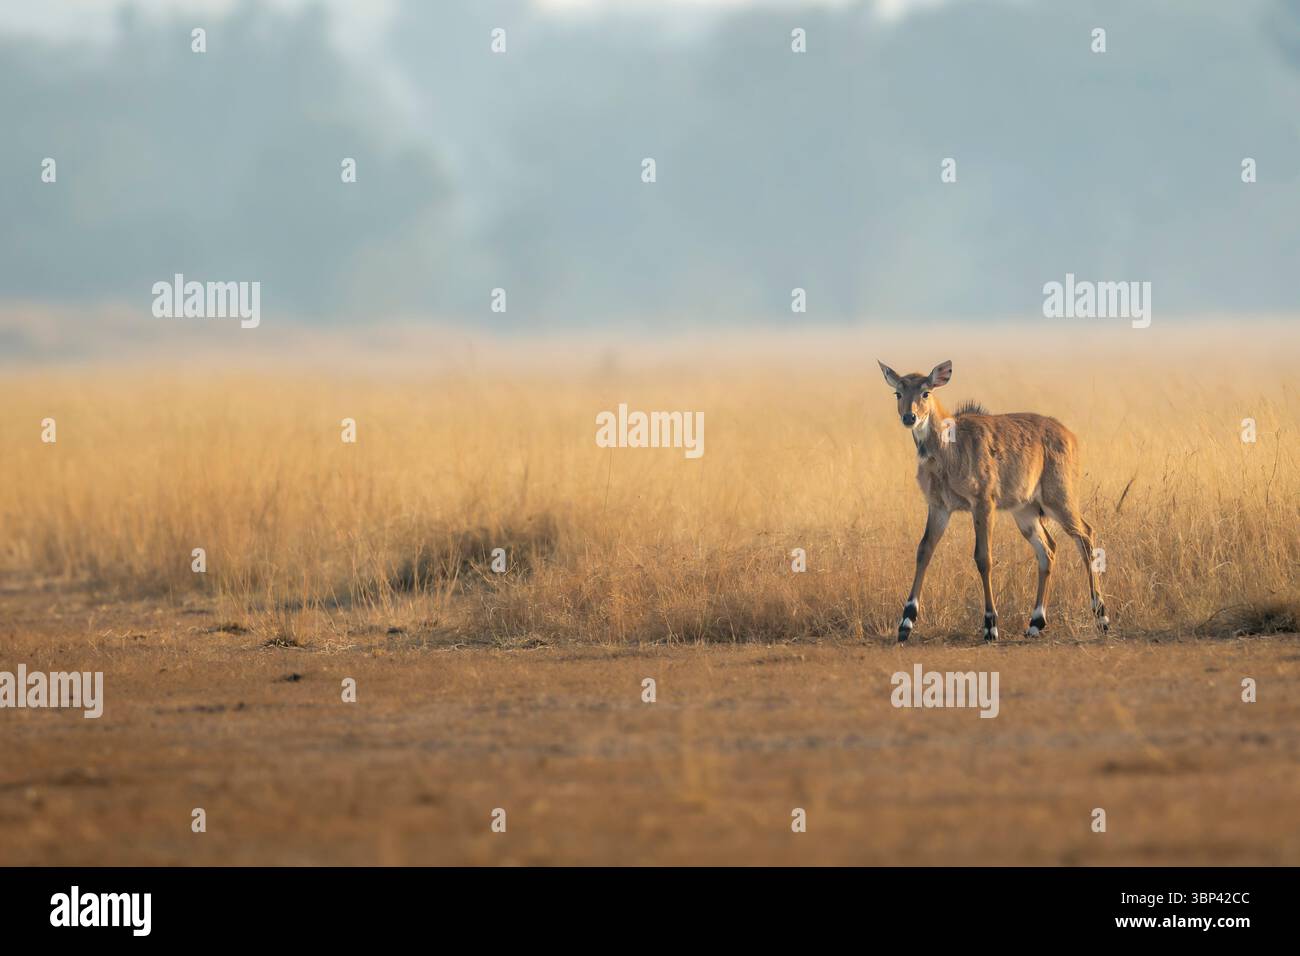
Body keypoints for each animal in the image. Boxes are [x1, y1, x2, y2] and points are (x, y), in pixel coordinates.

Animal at [876, 360, 1108, 643]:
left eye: (926, 392)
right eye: (898, 392)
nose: (909, 417)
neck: (948, 447)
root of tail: (1070, 436)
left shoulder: (983, 503)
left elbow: (983, 557)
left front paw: (990, 625)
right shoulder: (939, 506)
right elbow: (924, 551)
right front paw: (906, 622)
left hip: (1059, 499)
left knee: (1085, 535)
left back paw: (1101, 617)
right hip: (1025, 512)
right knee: (1048, 549)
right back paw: (1035, 623)